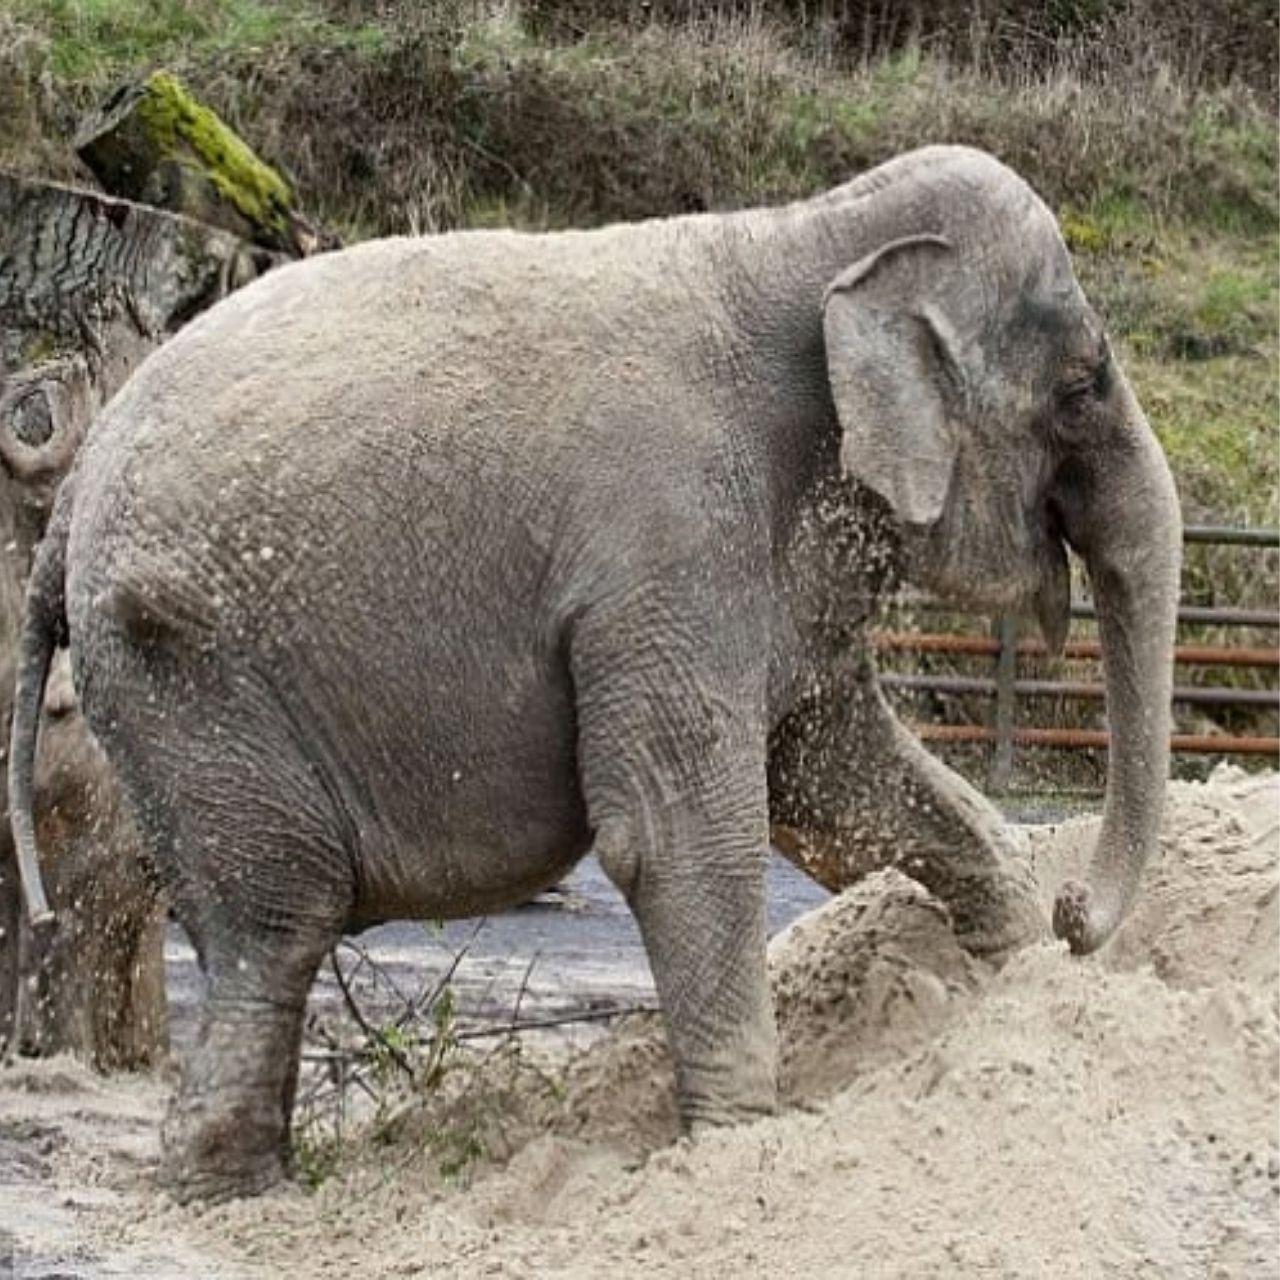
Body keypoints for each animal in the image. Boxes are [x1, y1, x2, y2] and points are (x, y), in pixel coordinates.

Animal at [8, 145, 1181, 1202]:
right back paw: (248, 1195)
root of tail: (66, 505)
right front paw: (737, 1144)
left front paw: (1012, 967)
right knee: (278, 919)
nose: (1076, 912)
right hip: (187, 669)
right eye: (1081, 385)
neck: (808, 233)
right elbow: (678, 834)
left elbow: (831, 772)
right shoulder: (668, 543)